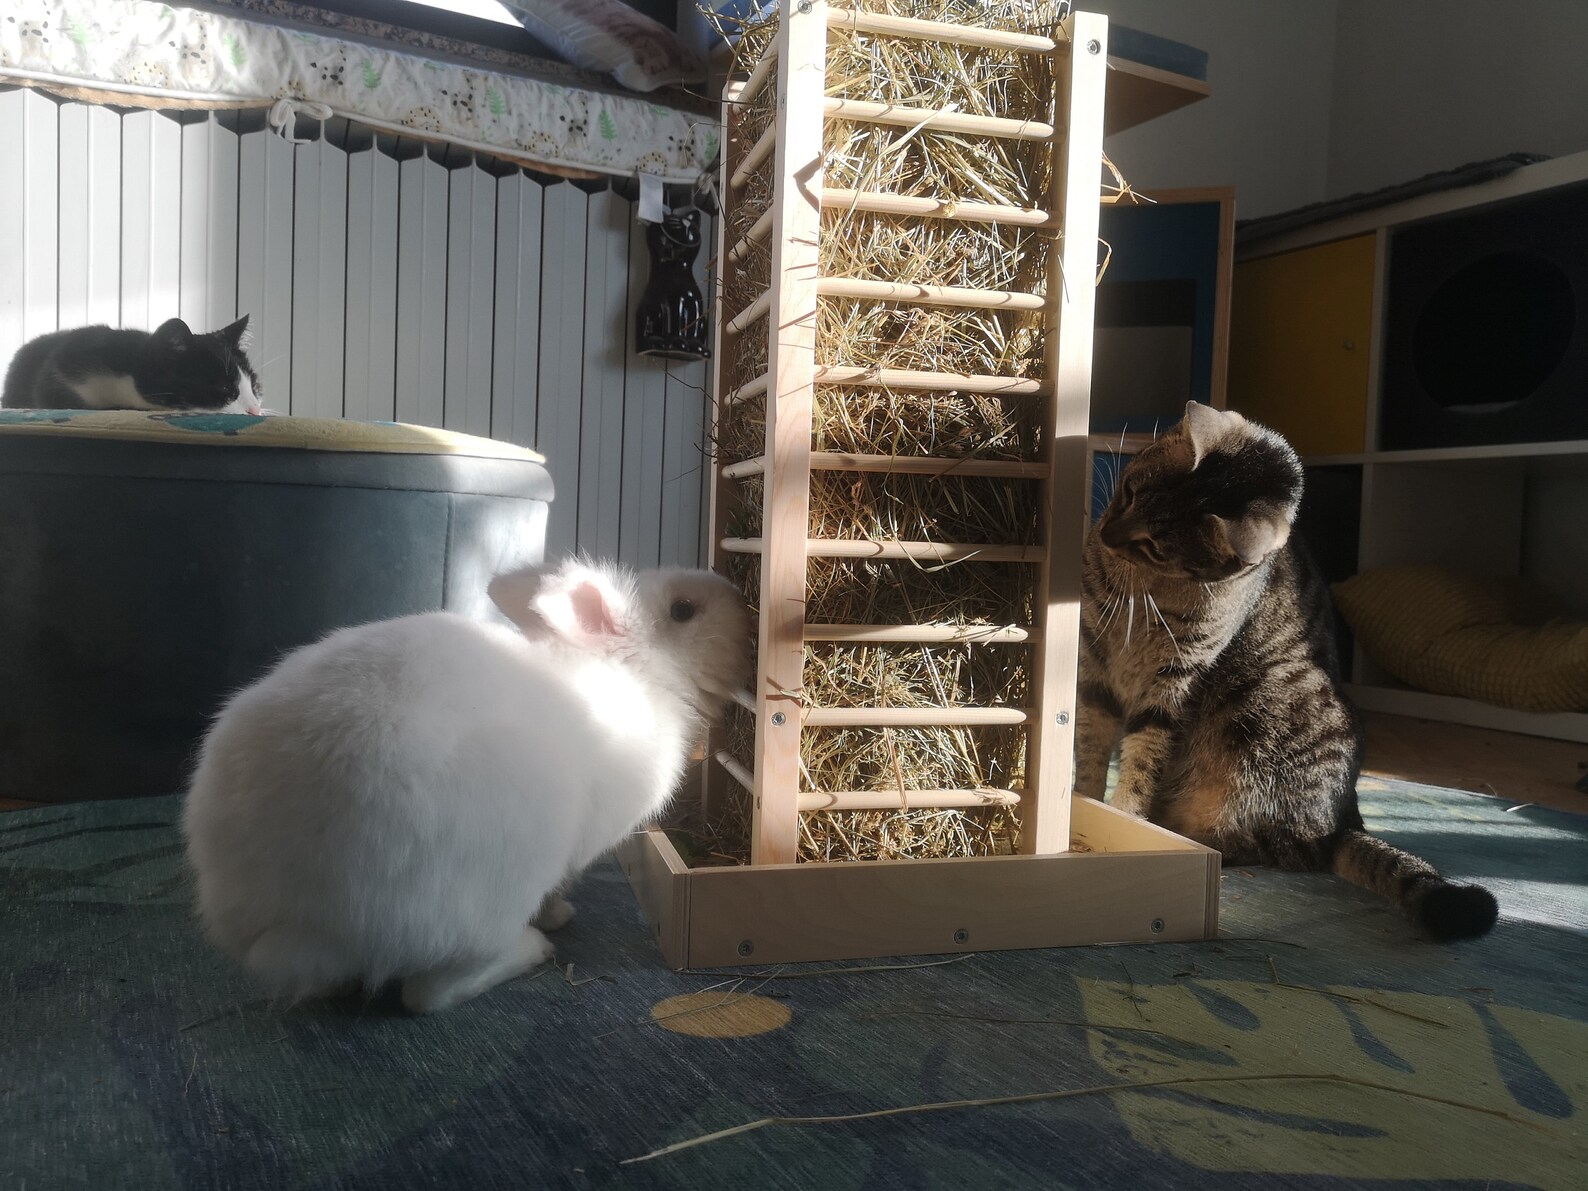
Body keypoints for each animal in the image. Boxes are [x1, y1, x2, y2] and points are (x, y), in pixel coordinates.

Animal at [182, 558, 751, 1013]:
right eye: (683, 610)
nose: (738, 595)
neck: (636, 671)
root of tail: (302, 923)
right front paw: (559, 916)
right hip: (490, 892)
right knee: (428, 995)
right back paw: (532, 949)